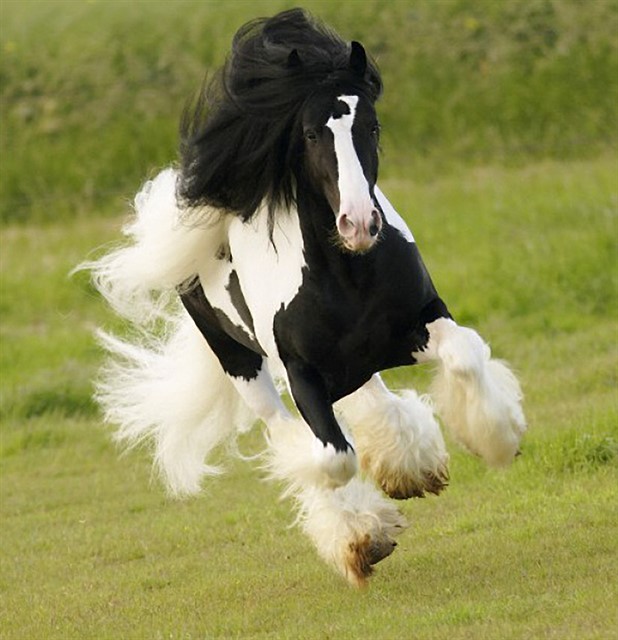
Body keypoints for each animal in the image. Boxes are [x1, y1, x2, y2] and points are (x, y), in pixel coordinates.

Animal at [83, 9, 526, 586]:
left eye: (371, 126)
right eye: (312, 133)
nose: (359, 224)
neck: (348, 276)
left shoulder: (423, 320)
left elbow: (466, 354)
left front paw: (497, 439)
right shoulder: (302, 375)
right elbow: (331, 458)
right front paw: (363, 540)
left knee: (368, 394)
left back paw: (408, 466)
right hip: (241, 363)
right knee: (286, 433)